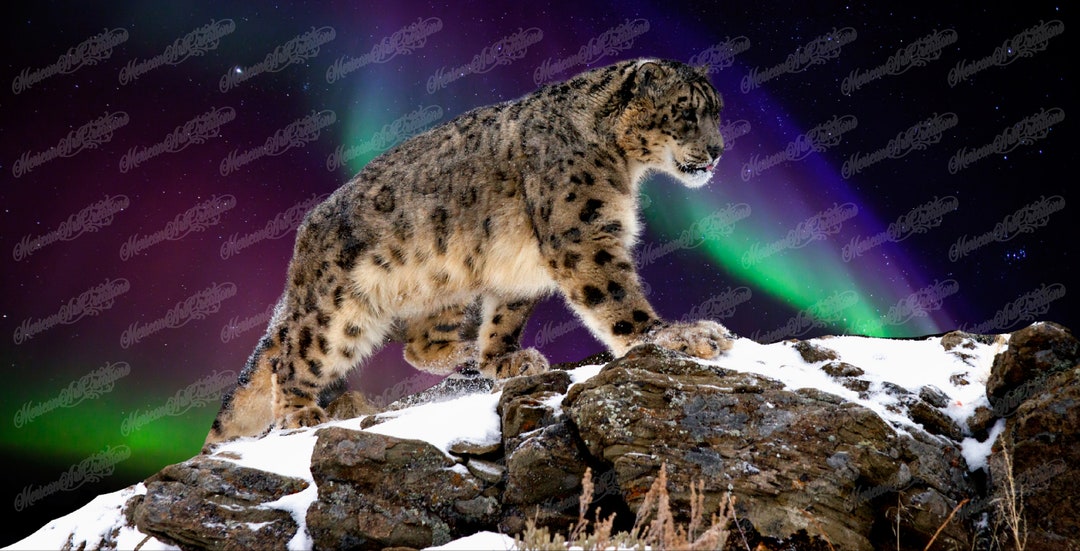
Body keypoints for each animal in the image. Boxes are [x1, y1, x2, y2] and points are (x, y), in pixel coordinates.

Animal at [205, 58, 732, 446]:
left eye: (717, 111)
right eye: (686, 112)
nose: (718, 151)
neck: (625, 167)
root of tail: (304, 237)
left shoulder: (522, 268)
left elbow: (506, 316)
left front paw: (505, 359)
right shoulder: (582, 234)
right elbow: (617, 299)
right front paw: (675, 336)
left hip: (444, 284)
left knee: (418, 344)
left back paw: (467, 354)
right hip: (336, 312)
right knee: (293, 357)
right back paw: (300, 412)